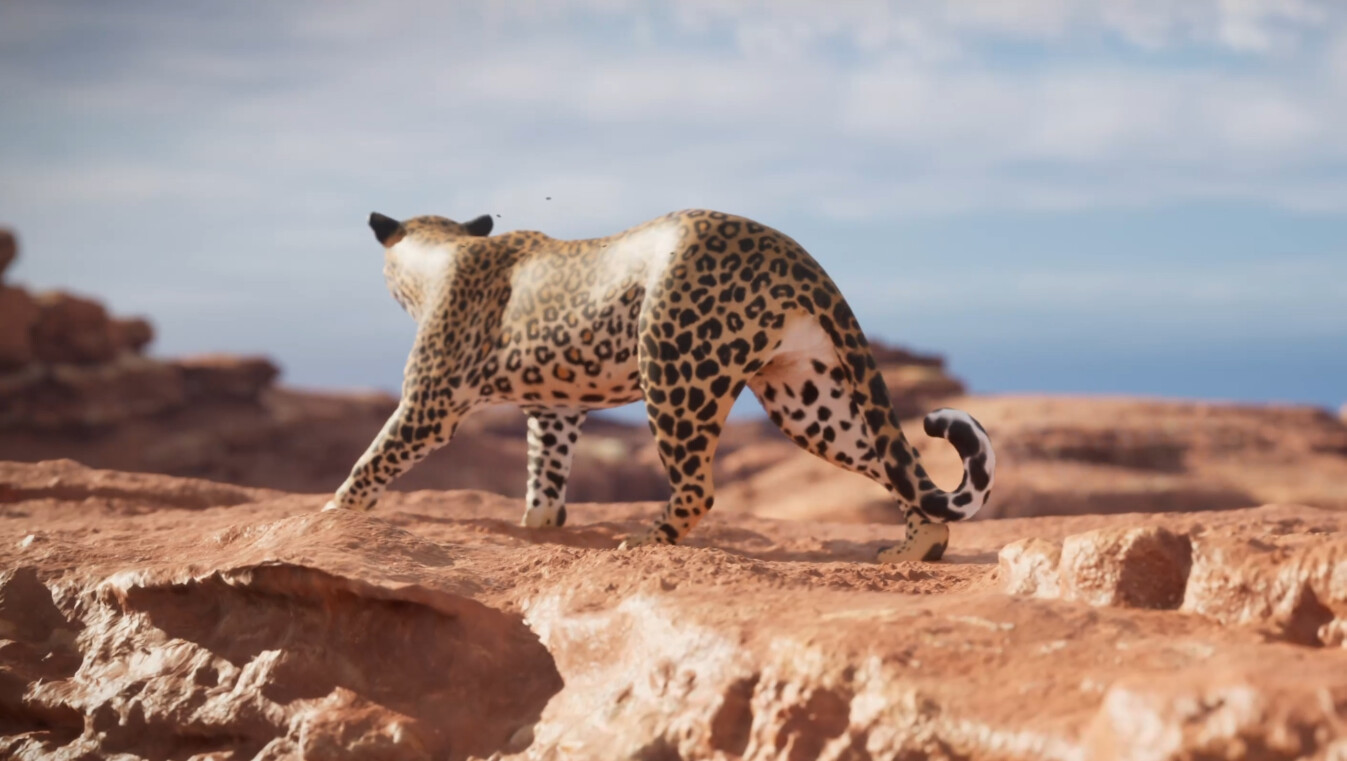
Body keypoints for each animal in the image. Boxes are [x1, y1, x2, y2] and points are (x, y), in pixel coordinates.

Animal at [323, 209, 996, 562]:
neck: (442, 247)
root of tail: (793, 253)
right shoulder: (554, 413)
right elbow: (545, 477)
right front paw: (539, 529)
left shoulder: (429, 402)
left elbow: (372, 459)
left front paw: (334, 514)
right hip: (806, 398)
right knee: (897, 462)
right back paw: (915, 550)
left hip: (676, 372)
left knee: (697, 488)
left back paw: (644, 542)